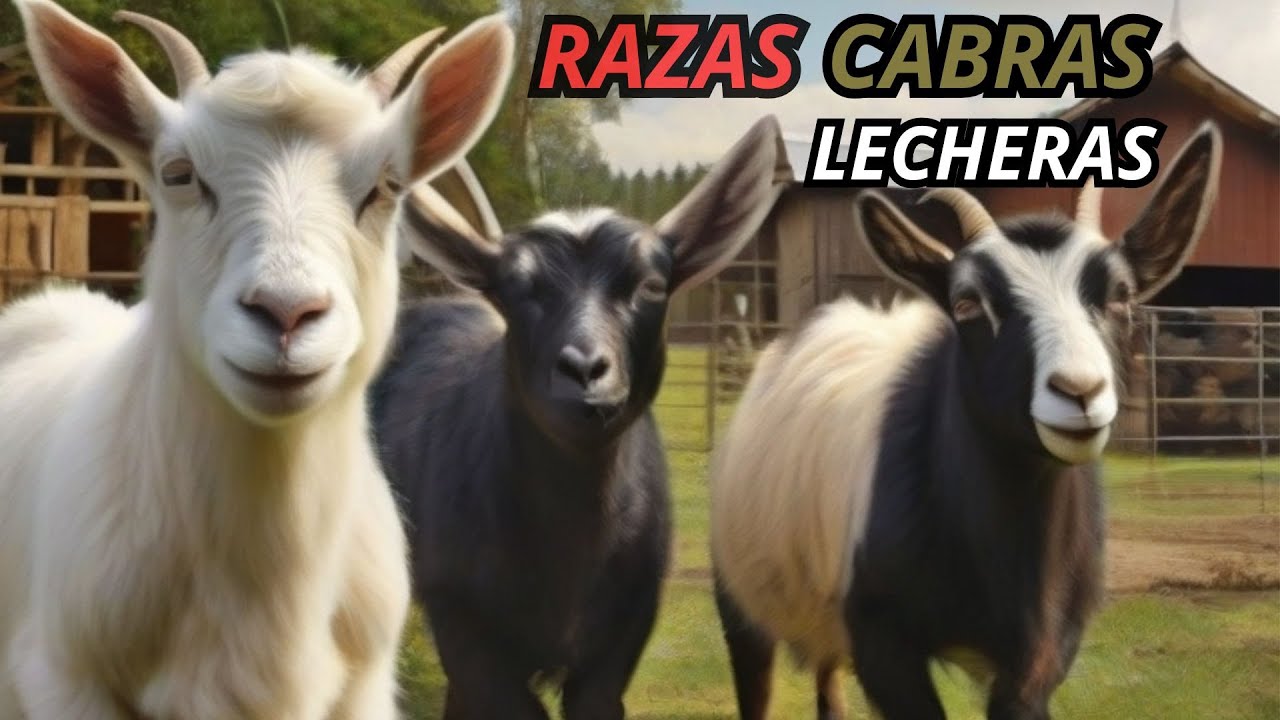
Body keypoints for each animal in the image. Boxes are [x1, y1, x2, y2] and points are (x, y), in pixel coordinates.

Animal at [710, 124, 1222, 720]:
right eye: (967, 303)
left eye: (1121, 295)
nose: (1079, 391)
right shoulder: (880, 636)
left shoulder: (1043, 654)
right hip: (740, 595)